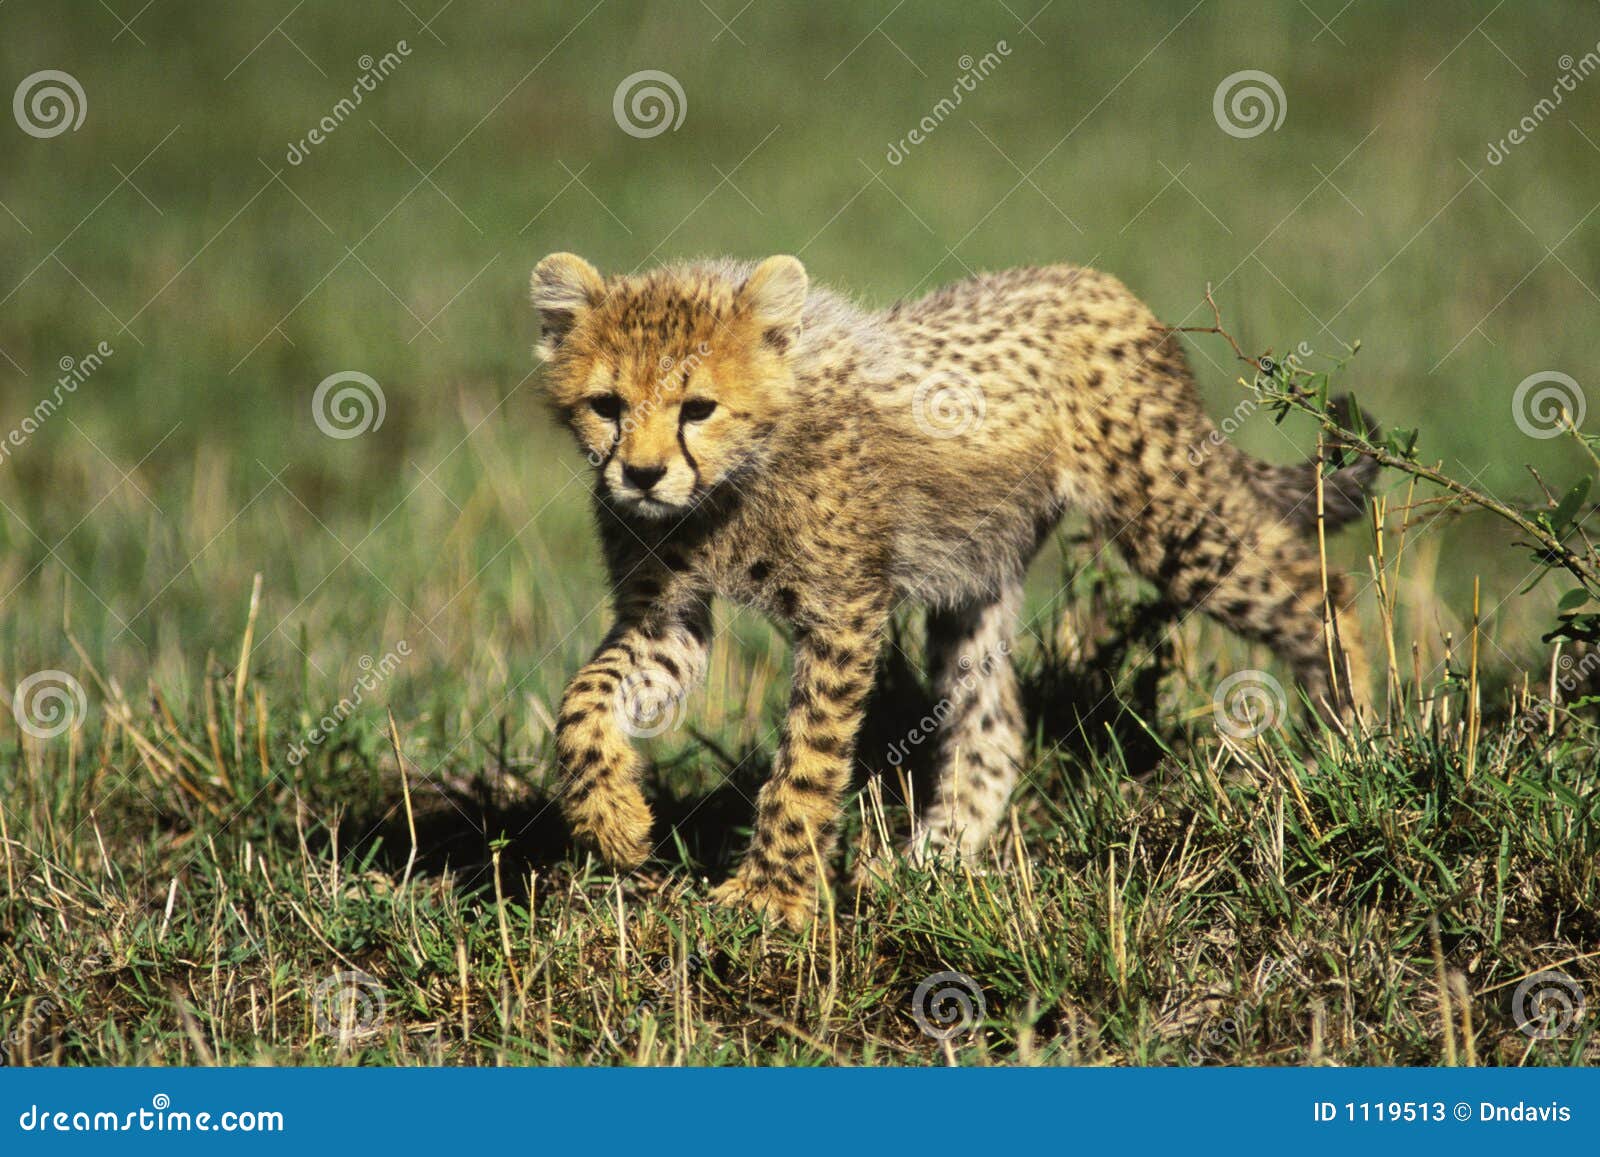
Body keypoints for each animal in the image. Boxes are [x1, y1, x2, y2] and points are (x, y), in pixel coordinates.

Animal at [530, 252, 1377, 929]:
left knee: (1317, 587)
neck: (733, 481)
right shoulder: (666, 616)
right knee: (994, 724)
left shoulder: (843, 612)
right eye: (607, 405)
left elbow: (808, 758)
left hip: (1168, 514)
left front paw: (772, 894)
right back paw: (930, 861)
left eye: (697, 407)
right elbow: (583, 700)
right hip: (976, 570)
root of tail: (1090, 279)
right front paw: (613, 820)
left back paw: (1352, 740)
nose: (641, 475)